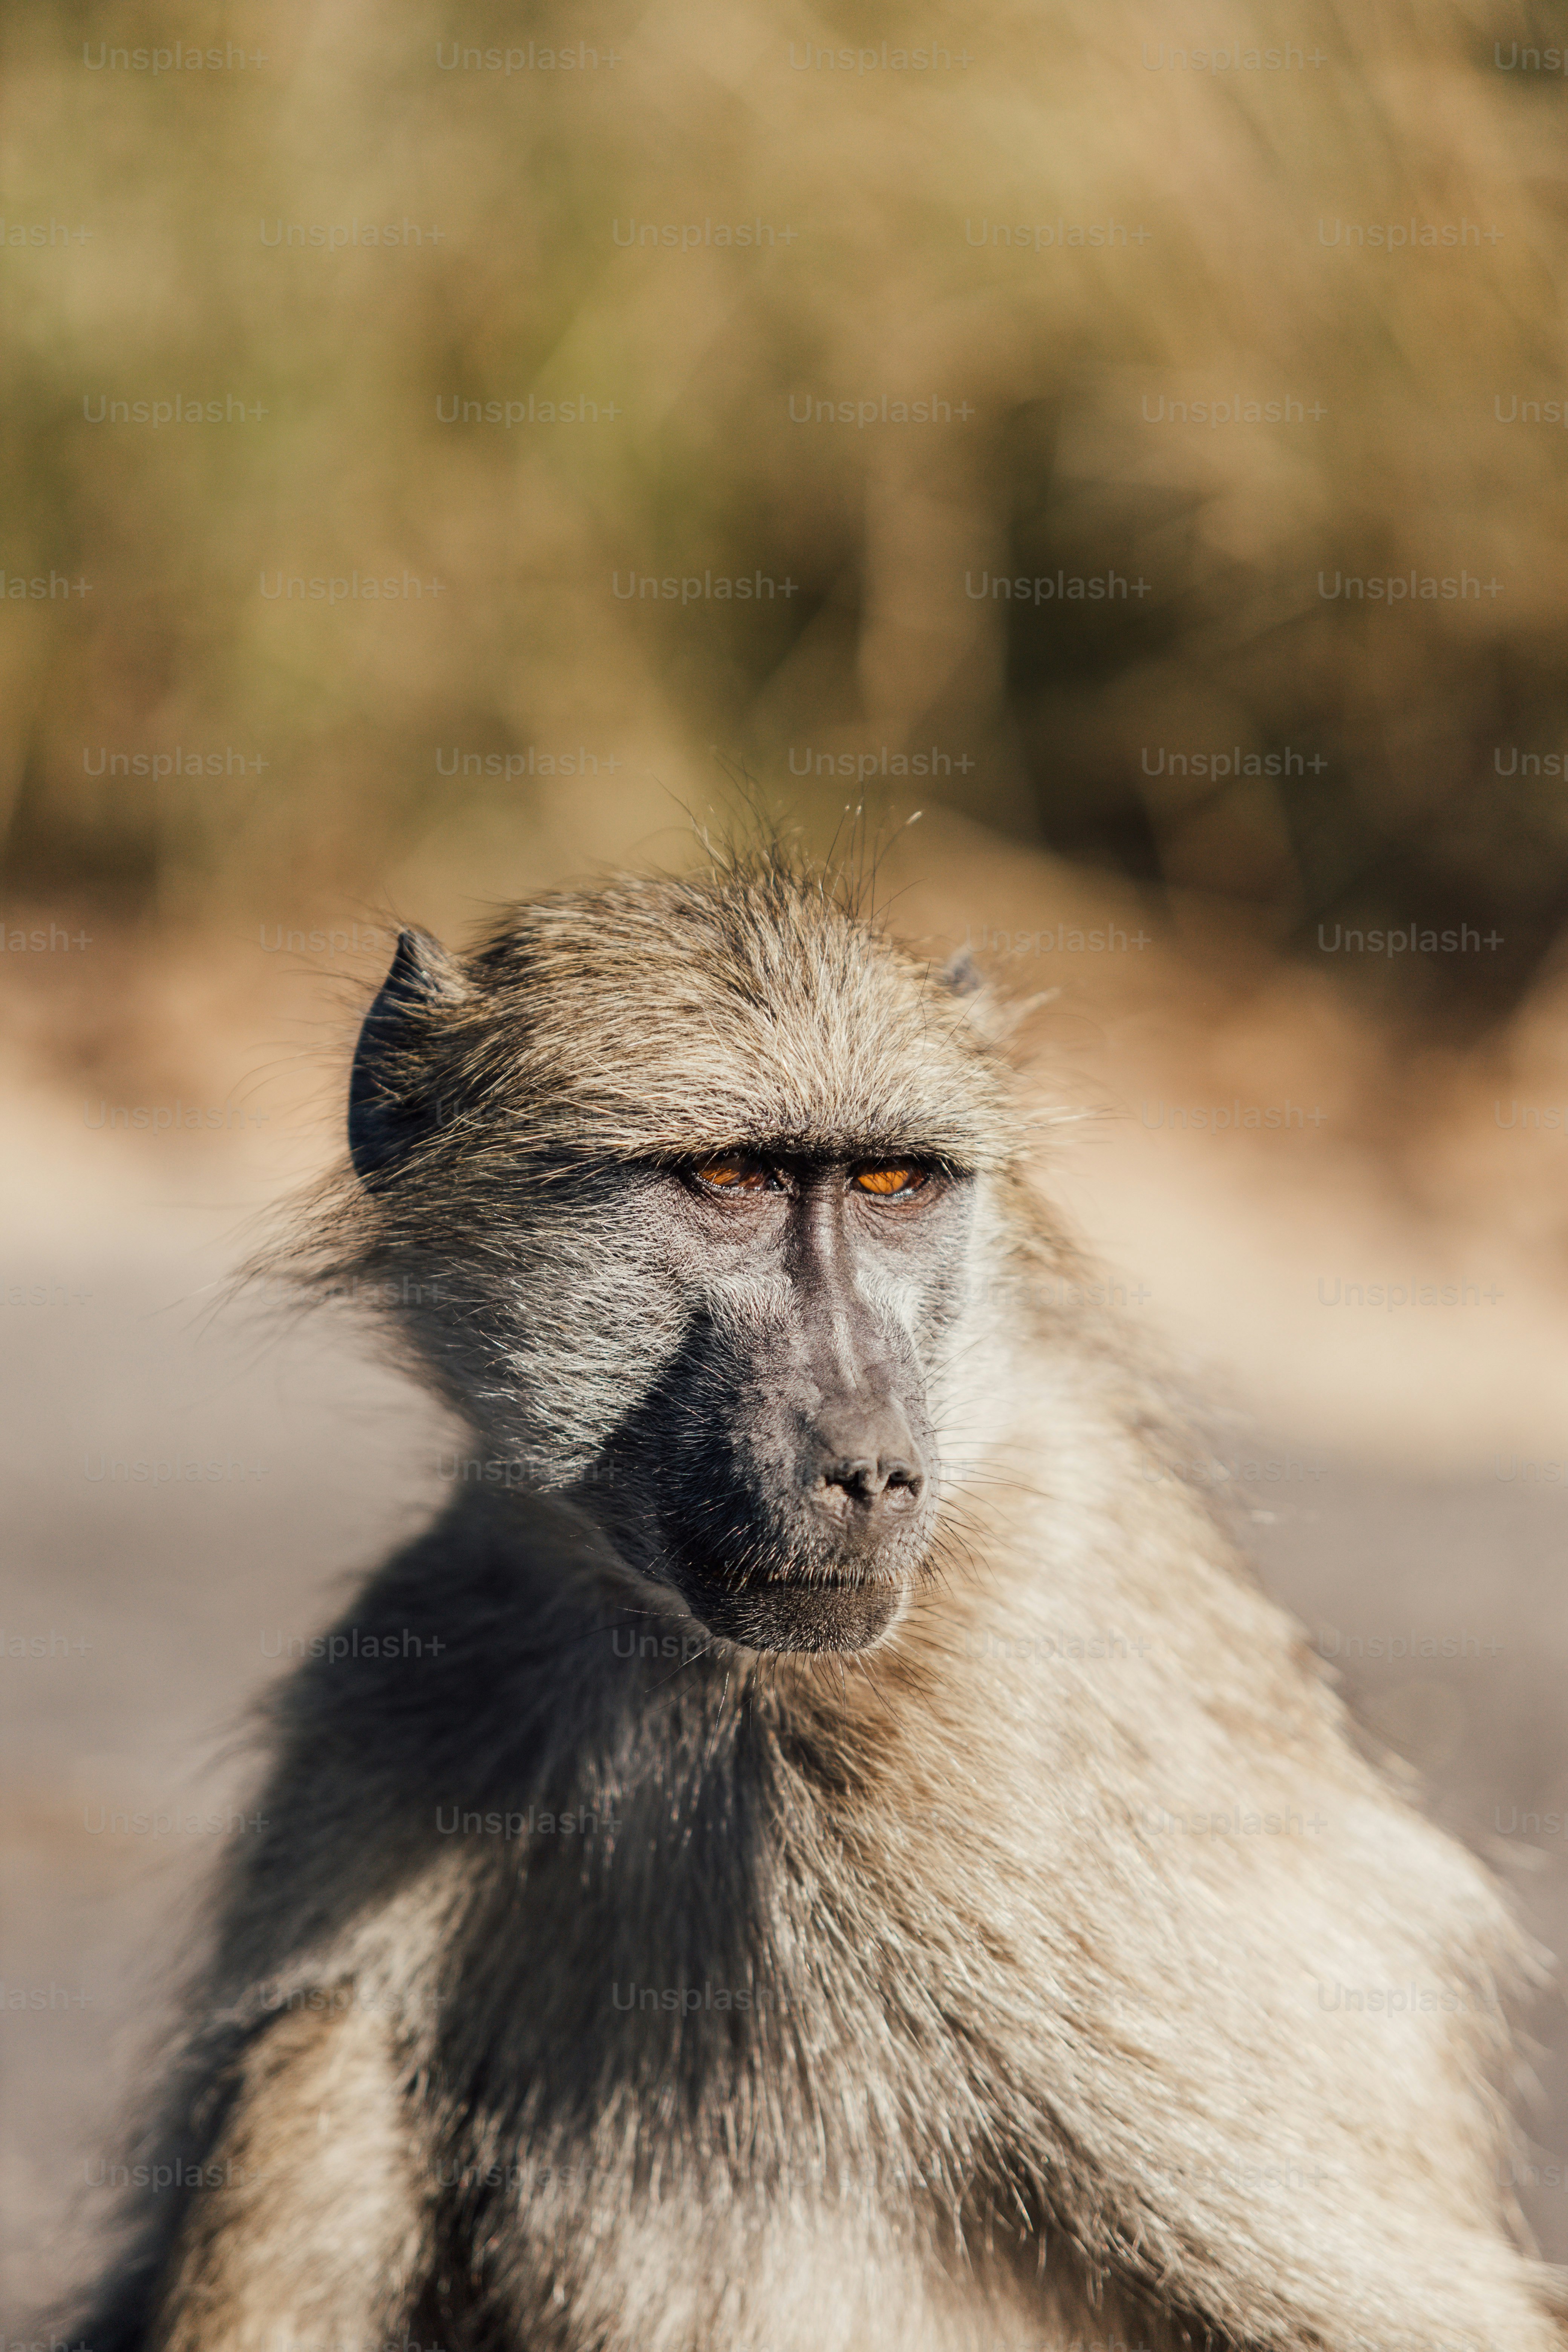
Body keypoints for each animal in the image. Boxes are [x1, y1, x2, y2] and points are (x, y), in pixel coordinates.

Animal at [73, 851, 1567, 2352]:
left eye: (894, 1181)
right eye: (729, 1174)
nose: (872, 1467)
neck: (680, 1654)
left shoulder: (1010, 1725)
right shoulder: (424, 1657)